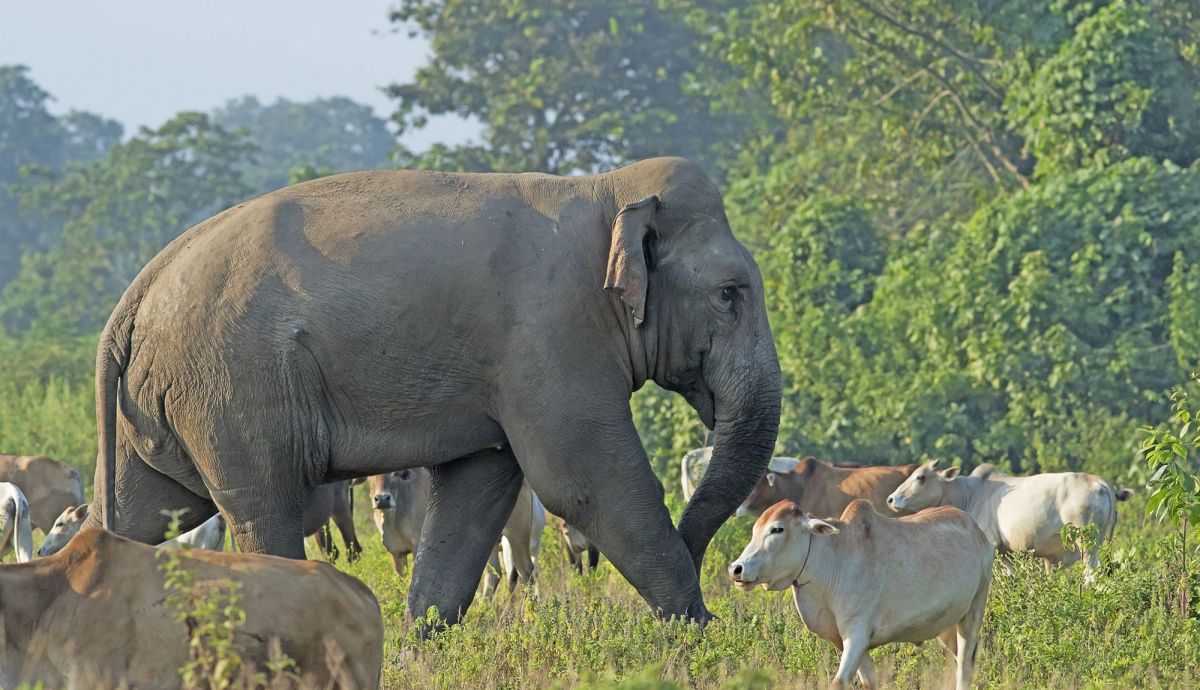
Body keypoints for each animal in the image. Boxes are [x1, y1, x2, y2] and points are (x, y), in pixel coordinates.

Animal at [83, 156, 781, 625]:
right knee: (263, 508)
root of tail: (135, 295)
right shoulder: (551, 337)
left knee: (141, 511)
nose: (725, 574)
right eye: (730, 293)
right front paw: (698, 635)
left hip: (171, 408)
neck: (605, 188)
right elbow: (587, 484)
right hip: (232, 390)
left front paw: (424, 640)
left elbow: (479, 489)